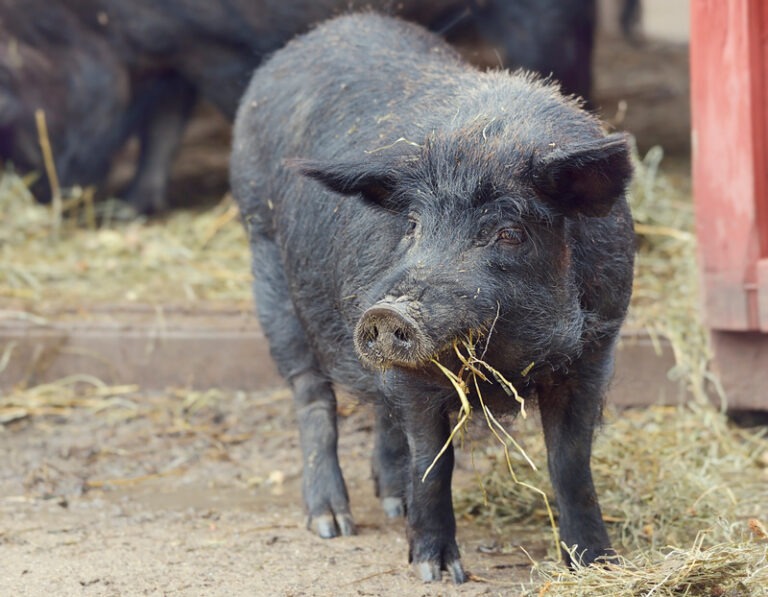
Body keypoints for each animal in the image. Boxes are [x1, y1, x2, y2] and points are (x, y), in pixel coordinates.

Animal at [231, 12, 634, 583]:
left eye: (508, 233)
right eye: (414, 225)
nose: (385, 311)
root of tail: (310, 40)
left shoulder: (596, 348)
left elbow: (572, 462)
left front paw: (597, 564)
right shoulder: (417, 377)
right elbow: (433, 461)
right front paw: (438, 571)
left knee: (378, 409)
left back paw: (391, 502)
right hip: (265, 259)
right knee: (312, 395)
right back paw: (332, 523)